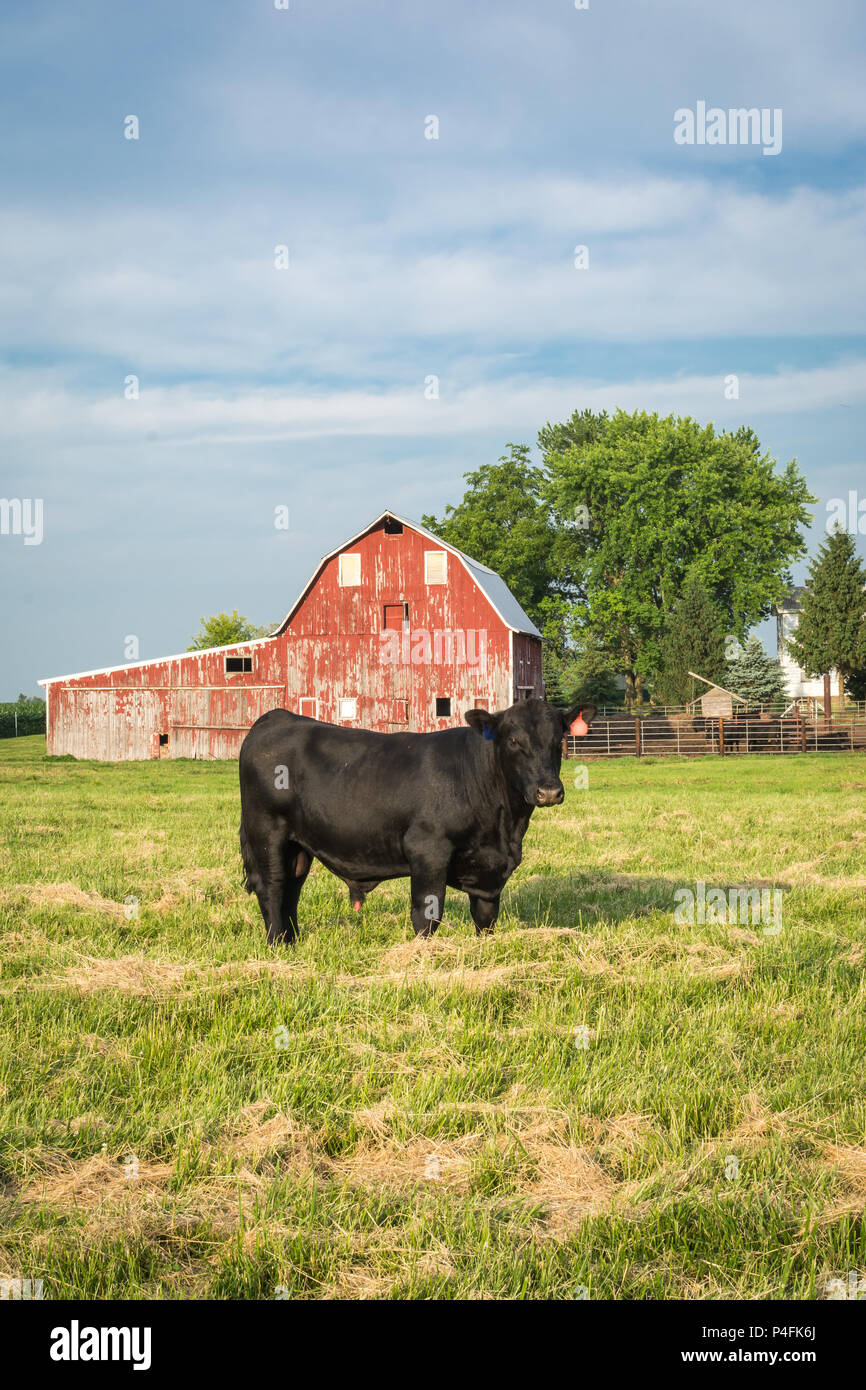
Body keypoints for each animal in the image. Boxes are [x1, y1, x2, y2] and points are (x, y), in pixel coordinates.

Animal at [238, 697, 596, 945]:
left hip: (299, 845)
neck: (504, 827)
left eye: (558, 740)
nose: (548, 791)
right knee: (272, 887)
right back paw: (278, 946)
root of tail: (277, 717)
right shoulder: (427, 850)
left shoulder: (489, 870)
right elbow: (426, 915)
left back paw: (293, 941)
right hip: (266, 831)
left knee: (292, 889)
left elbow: (486, 918)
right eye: (513, 741)